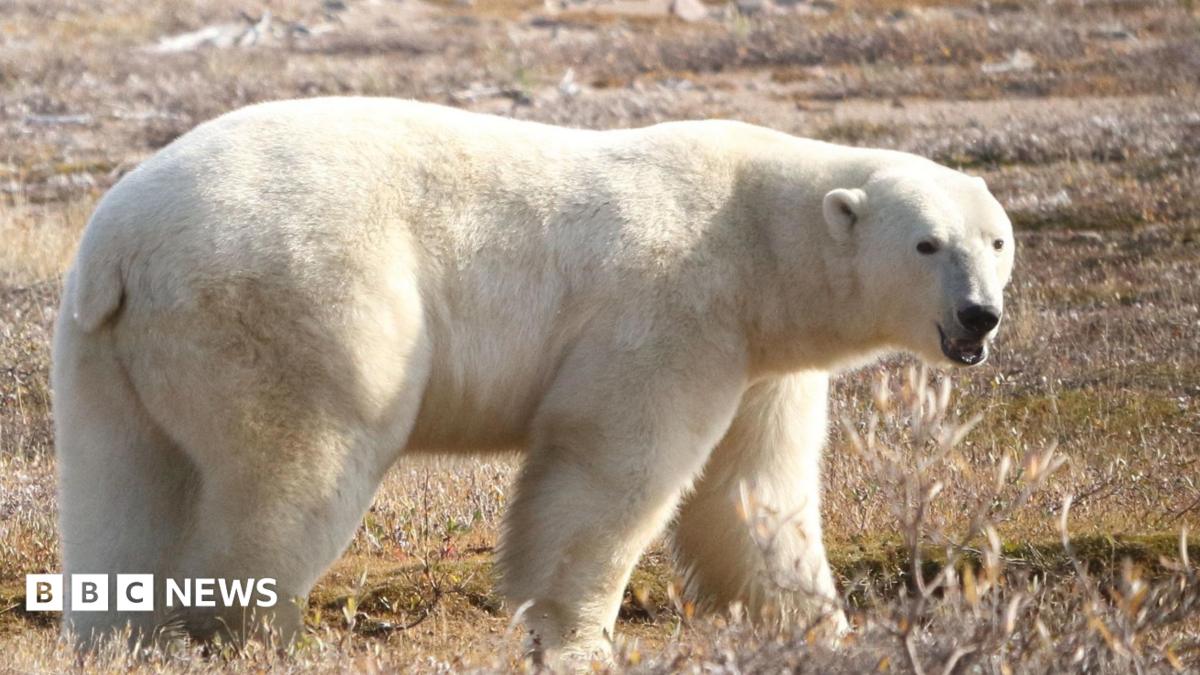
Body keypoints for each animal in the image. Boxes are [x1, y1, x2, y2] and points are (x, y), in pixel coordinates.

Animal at [51, 97, 1014, 662]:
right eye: (927, 242)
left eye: (997, 239)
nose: (979, 316)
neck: (756, 238)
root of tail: (123, 245)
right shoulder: (673, 308)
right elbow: (613, 468)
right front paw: (577, 639)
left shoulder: (762, 359)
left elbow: (753, 491)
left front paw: (824, 628)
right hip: (294, 301)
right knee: (295, 466)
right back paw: (255, 633)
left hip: (108, 352)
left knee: (124, 487)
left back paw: (119, 634)